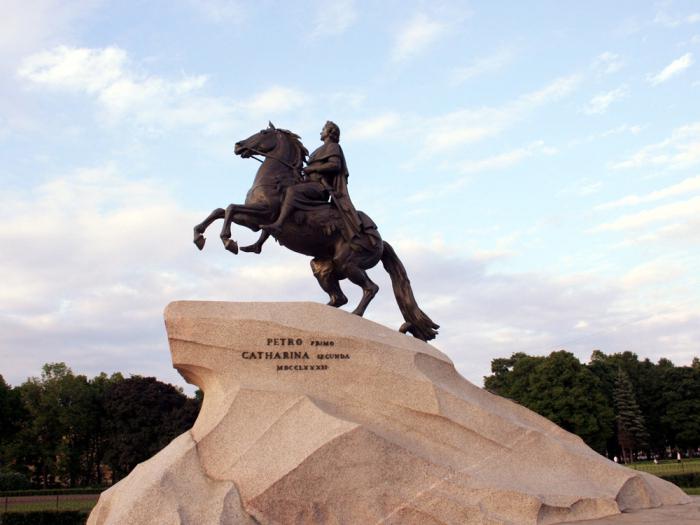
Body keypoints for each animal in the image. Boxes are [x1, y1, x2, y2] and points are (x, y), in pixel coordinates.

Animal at [193, 125, 438, 342]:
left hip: (348, 264)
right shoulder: (253, 220)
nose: (238, 145)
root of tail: (381, 241)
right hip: (324, 267)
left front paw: (228, 241)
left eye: (263, 132)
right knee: (339, 298)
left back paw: (355, 315)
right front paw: (199, 236)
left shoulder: (262, 214)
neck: (276, 179)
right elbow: (221, 210)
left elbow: (230, 208)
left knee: (370, 288)